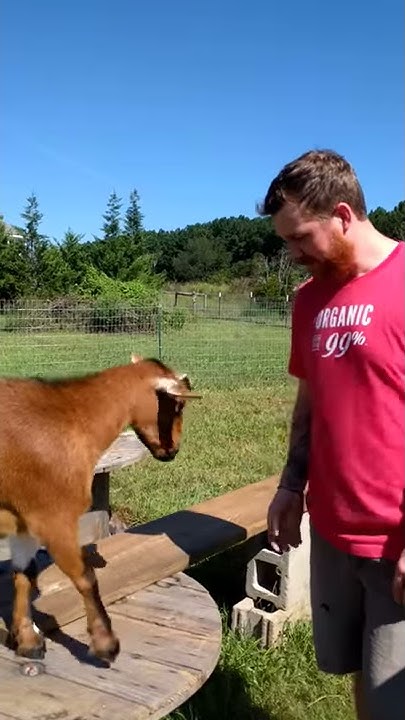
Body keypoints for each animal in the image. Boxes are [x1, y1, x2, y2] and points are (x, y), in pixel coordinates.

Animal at [0, 354, 201, 663]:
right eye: (178, 405)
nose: (172, 451)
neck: (71, 417)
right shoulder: (54, 519)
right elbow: (86, 577)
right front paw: (105, 644)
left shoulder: (24, 523)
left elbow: (24, 576)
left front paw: (27, 641)